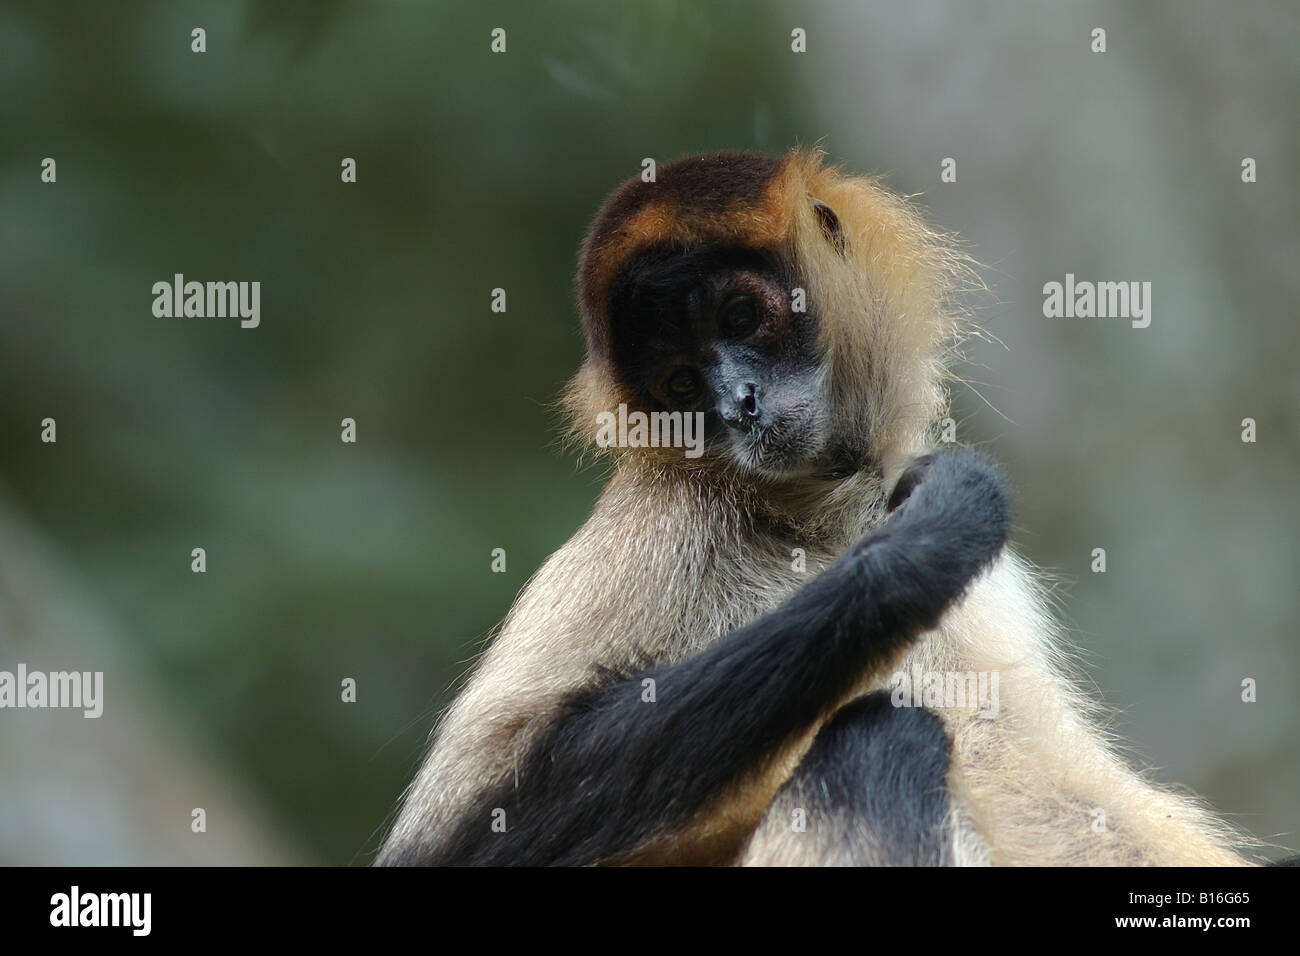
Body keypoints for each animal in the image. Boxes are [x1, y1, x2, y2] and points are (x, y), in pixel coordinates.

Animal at [377, 148, 1255, 866]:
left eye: (741, 317)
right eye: (681, 387)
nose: (740, 404)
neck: (826, 515)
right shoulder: (668, 516)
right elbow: (451, 852)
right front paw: (914, 558)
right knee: (885, 734)